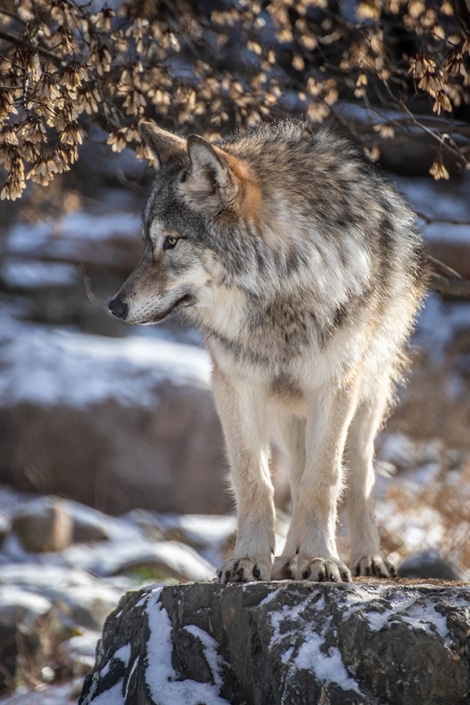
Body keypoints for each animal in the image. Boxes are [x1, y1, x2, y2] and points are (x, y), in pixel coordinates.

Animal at [109, 119, 427, 583]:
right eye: (149, 243)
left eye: (172, 241)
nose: (115, 306)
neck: (282, 289)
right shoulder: (235, 387)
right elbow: (253, 480)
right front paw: (250, 558)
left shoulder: (334, 386)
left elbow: (324, 480)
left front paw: (321, 559)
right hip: (284, 412)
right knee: (294, 471)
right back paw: (286, 561)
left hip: (368, 396)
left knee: (360, 473)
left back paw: (367, 557)